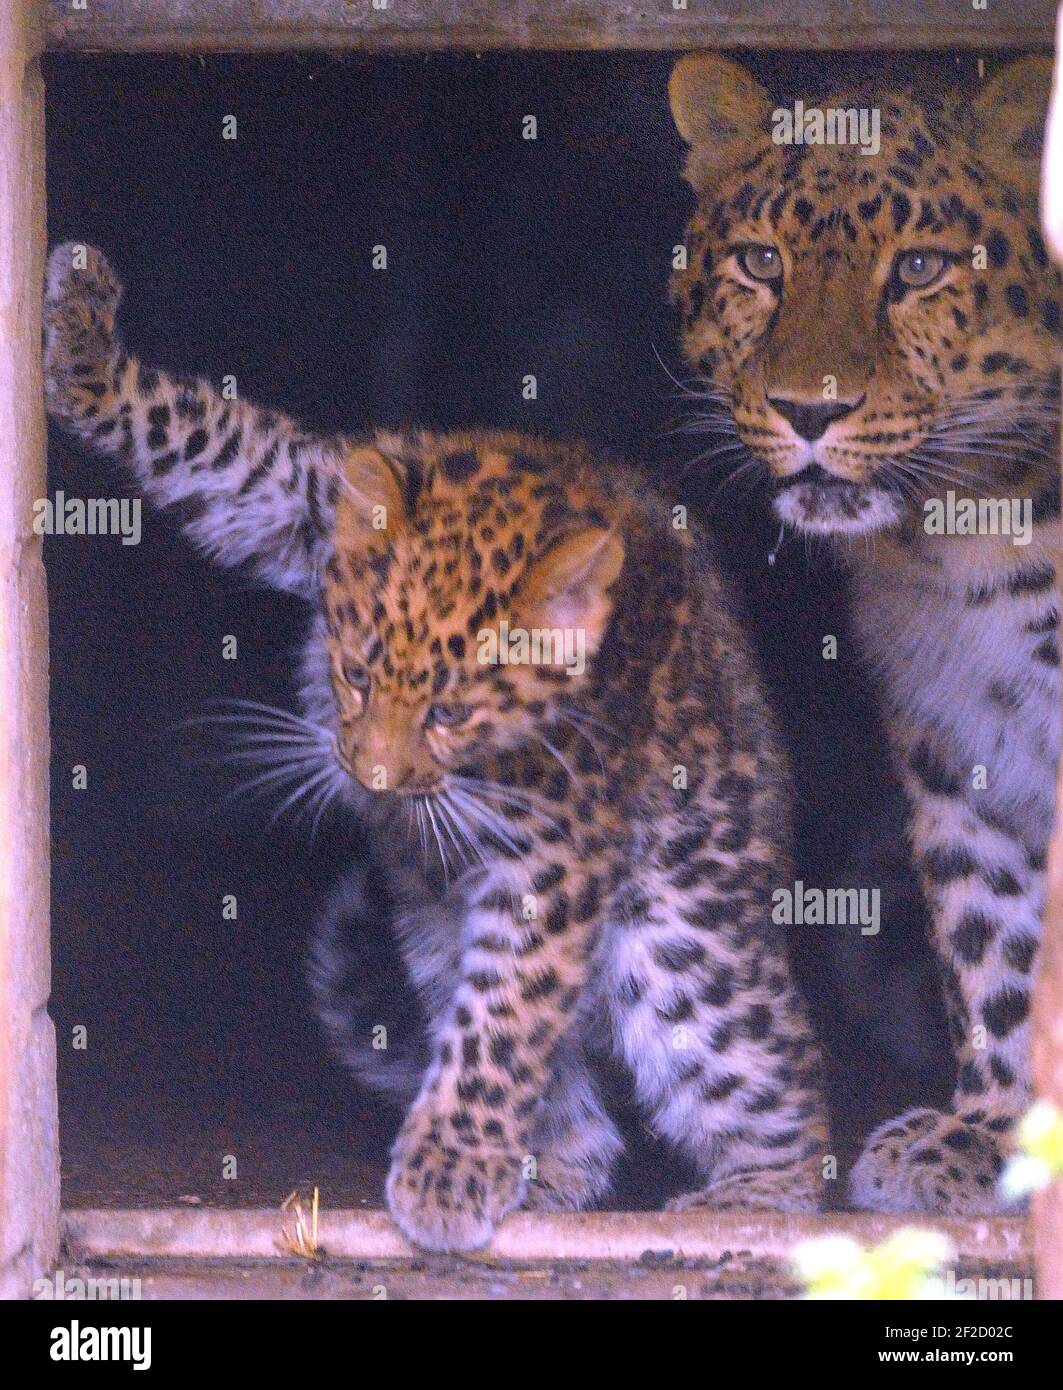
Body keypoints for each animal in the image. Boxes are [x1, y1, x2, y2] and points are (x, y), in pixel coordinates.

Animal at [43, 241, 828, 1251]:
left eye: (452, 716)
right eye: (354, 675)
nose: (372, 781)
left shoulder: (554, 854)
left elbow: (501, 1027)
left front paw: (448, 1172)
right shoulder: (296, 494)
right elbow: (204, 438)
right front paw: (80, 329)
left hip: (684, 928)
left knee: (761, 1069)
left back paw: (754, 1198)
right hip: (434, 924)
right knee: (559, 1094)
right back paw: (546, 1173)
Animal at [668, 51, 1062, 1215]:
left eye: (920, 268)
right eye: (760, 262)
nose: (808, 411)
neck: (964, 542)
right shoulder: (956, 742)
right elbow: (990, 941)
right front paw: (988, 1136)